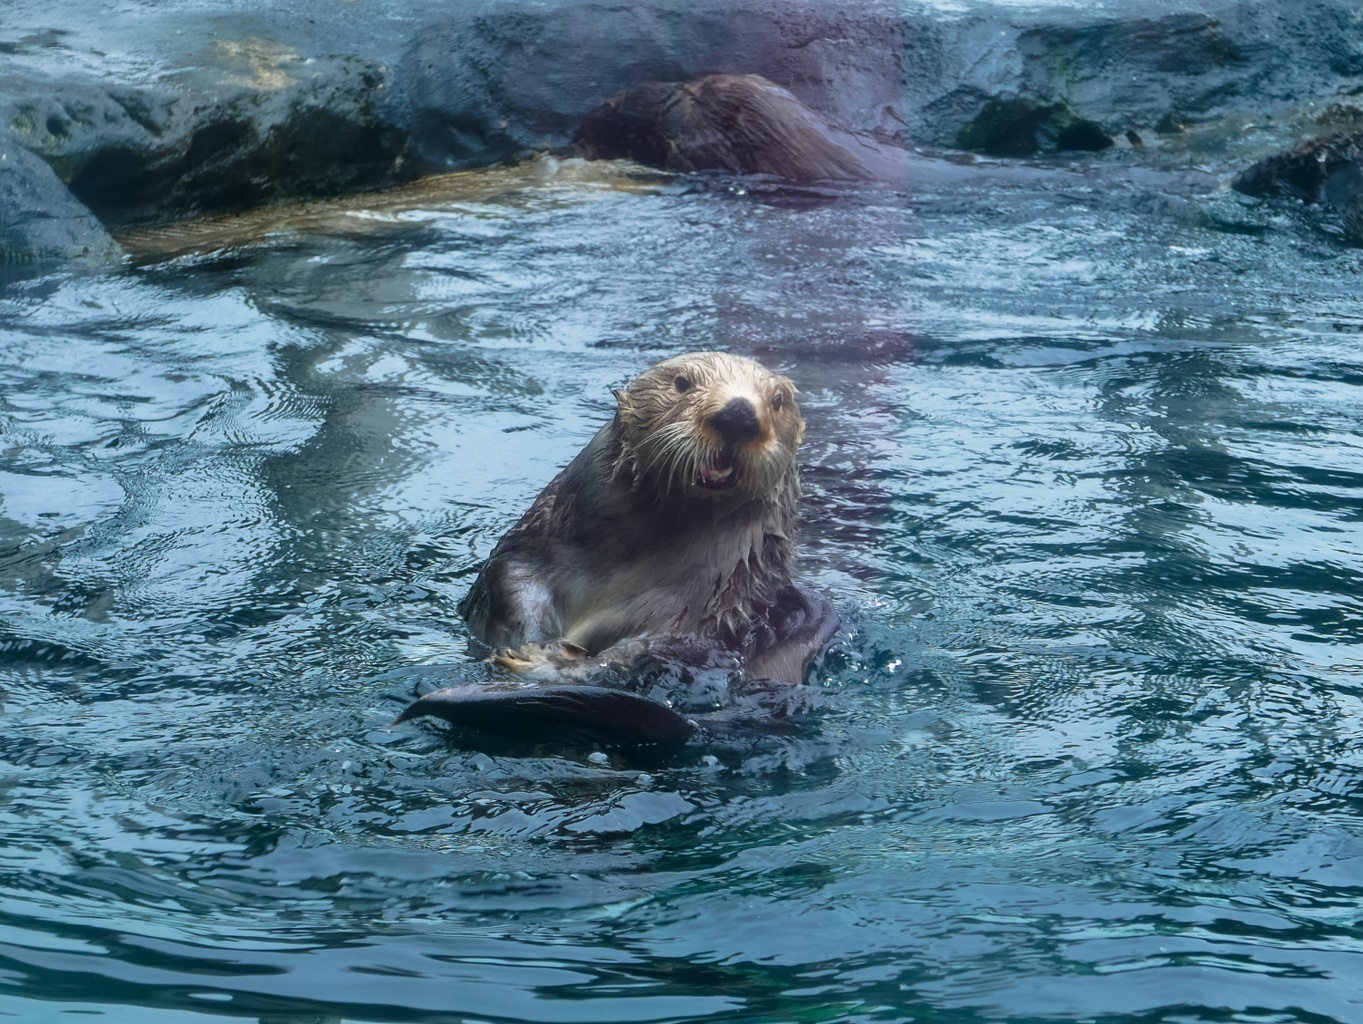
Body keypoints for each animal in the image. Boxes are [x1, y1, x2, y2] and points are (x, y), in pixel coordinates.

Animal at [396, 352, 839, 744]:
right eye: (682, 383)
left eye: (777, 400)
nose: (739, 414)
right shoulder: (536, 539)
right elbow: (510, 577)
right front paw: (533, 642)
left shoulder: (715, 613)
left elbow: (652, 653)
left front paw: (542, 662)